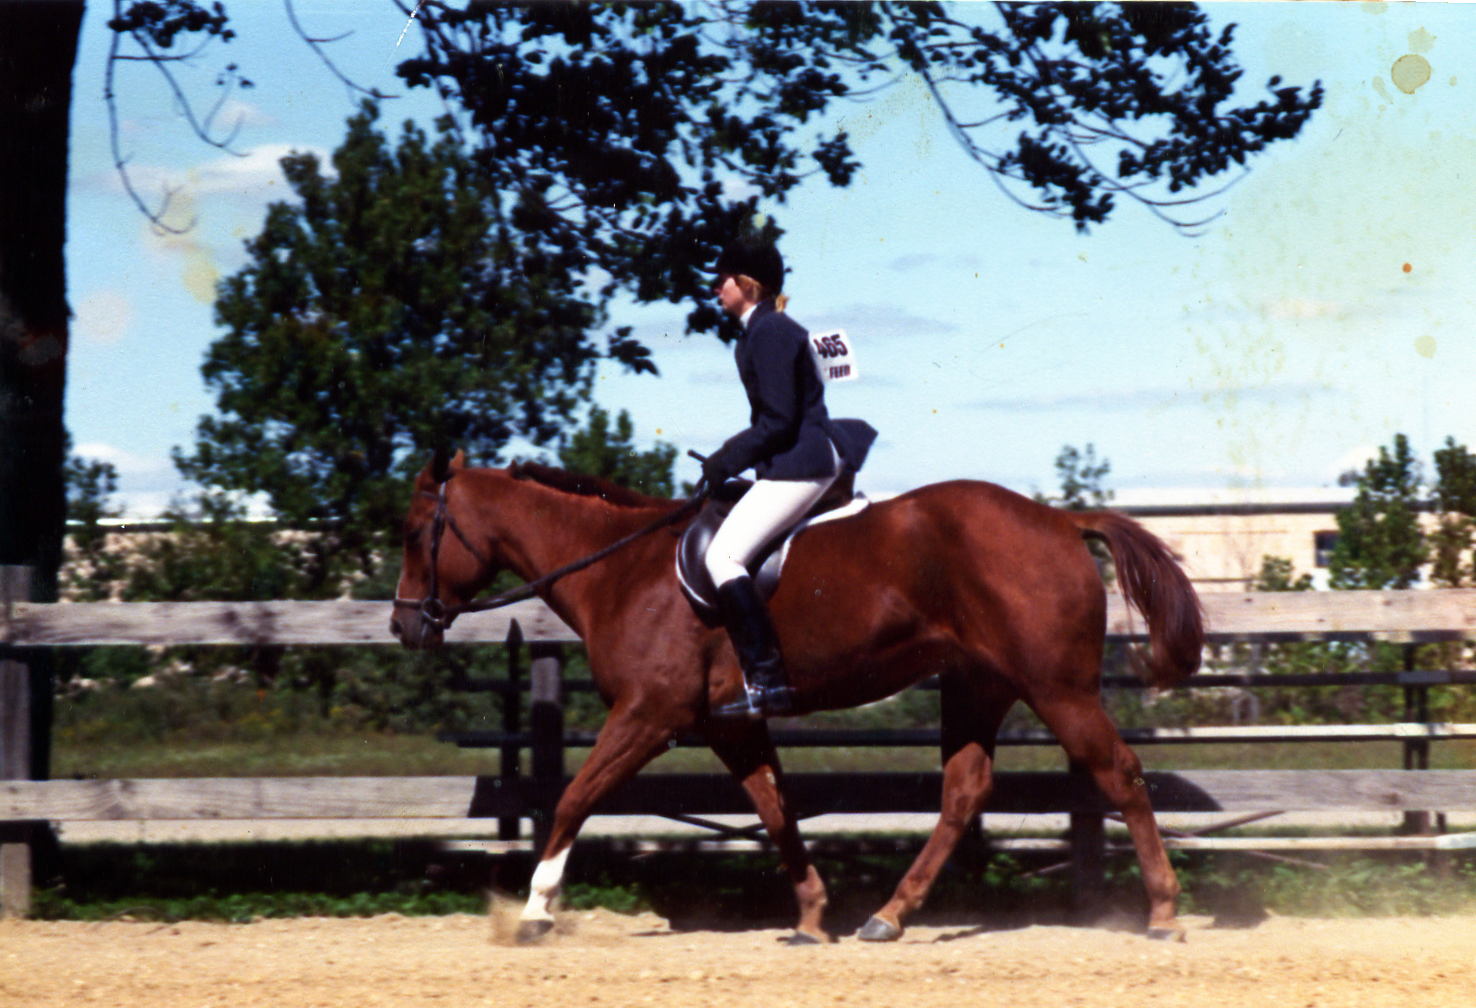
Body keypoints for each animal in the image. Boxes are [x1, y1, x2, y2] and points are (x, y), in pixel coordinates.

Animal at [391, 451, 1204, 944]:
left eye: (413, 531)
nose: (404, 626)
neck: (619, 568)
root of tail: (1060, 519)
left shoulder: (649, 715)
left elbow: (573, 797)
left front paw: (533, 911)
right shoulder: (729, 726)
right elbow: (775, 808)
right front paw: (812, 918)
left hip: (1055, 687)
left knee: (1119, 772)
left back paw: (1164, 912)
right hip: (980, 685)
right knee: (965, 790)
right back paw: (887, 916)